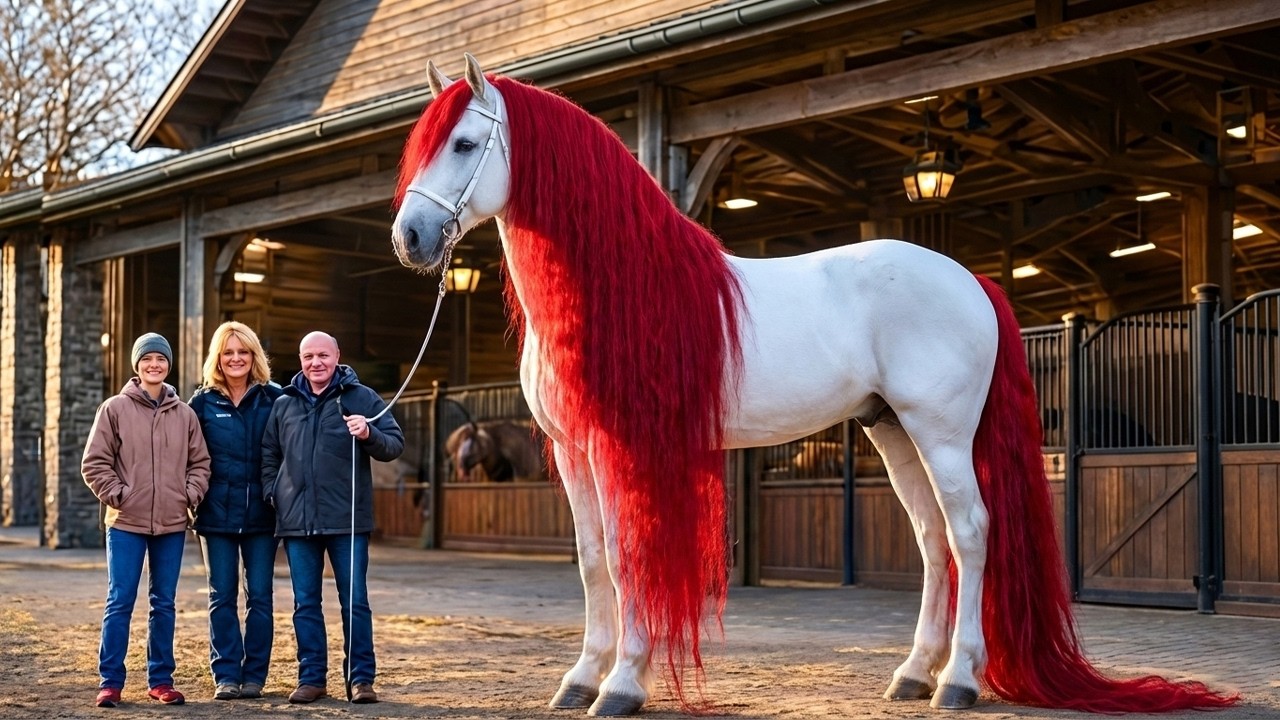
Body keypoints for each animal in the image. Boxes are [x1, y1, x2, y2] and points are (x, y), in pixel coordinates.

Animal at [389, 54, 1237, 716]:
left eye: (465, 142)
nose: (410, 239)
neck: (617, 286)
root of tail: (970, 279)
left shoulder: (628, 444)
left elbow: (631, 560)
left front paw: (623, 684)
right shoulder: (572, 451)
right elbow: (595, 561)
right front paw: (580, 680)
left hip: (940, 432)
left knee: (970, 532)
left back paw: (958, 682)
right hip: (892, 433)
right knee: (933, 541)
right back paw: (912, 674)